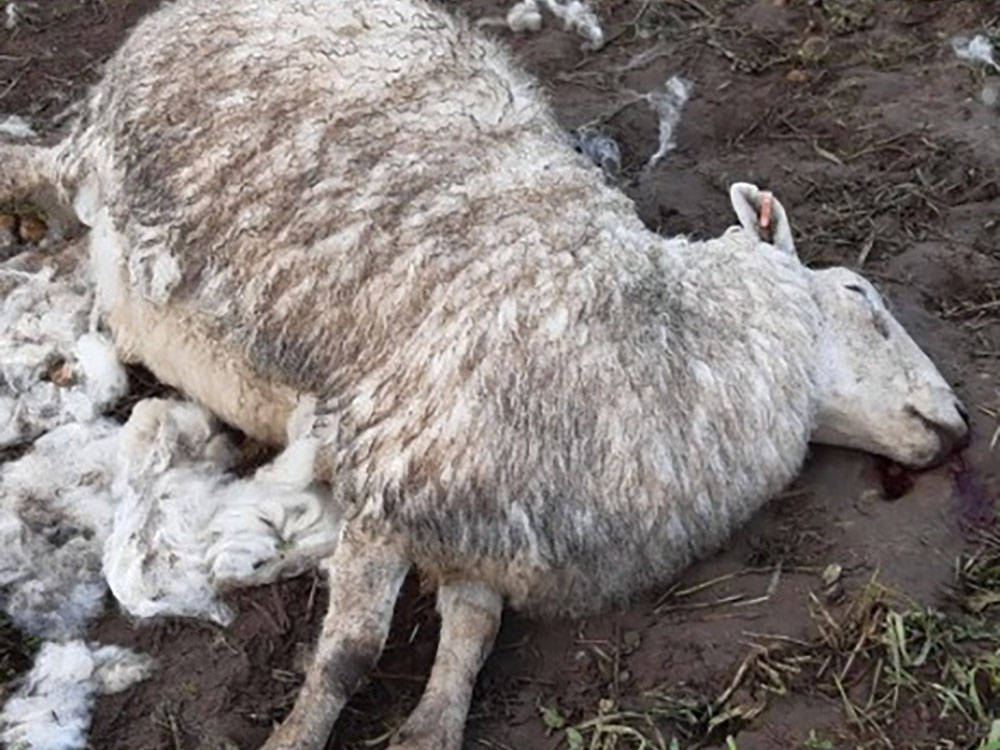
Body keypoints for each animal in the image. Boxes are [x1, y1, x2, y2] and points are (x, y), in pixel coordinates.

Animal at [0, 0, 971, 748]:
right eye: (861, 296)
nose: (960, 426)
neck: (662, 330)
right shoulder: (388, 480)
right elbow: (349, 654)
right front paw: (298, 734)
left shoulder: (490, 515)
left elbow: (471, 633)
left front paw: (431, 726)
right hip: (93, 155)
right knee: (42, 166)